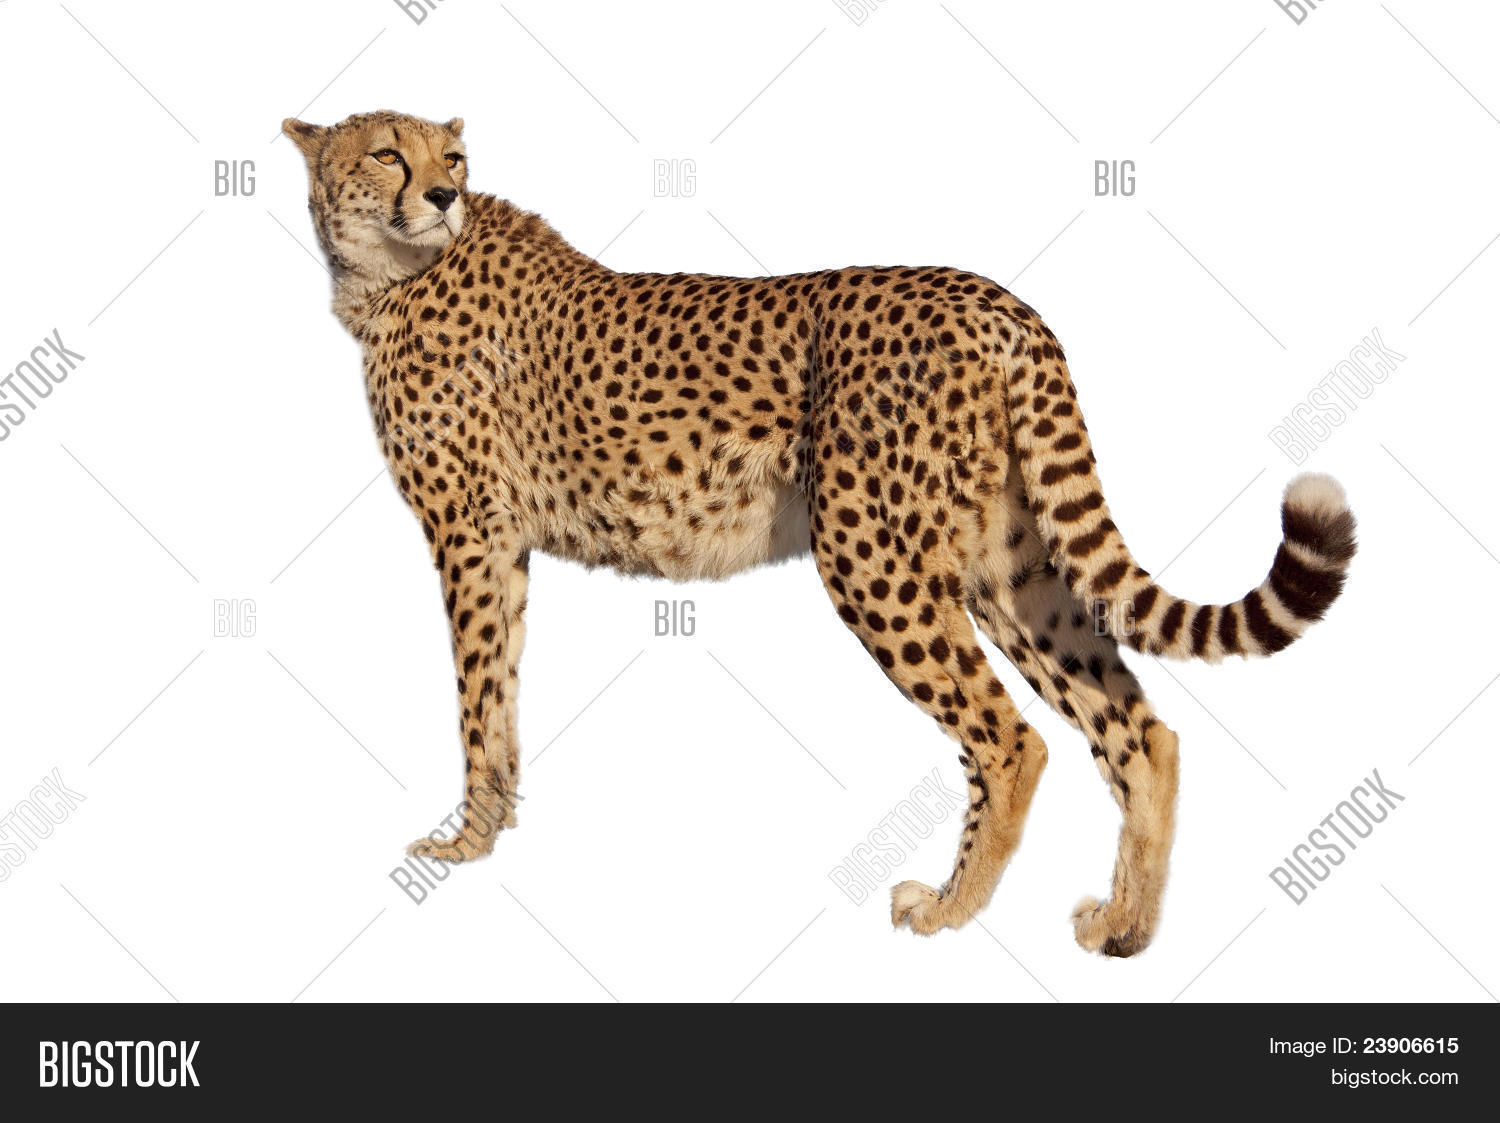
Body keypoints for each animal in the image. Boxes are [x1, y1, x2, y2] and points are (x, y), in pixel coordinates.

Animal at [284, 110, 1356, 956]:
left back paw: (950, 909)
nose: (442, 195)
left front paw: (464, 844)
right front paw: (497, 828)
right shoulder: (499, 543)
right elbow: (501, 689)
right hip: (1004, 565)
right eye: (387, 152)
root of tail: (1000, 301)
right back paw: (1126, 926)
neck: (391, 273)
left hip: (870, 552)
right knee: (1138, 727)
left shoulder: (467, 532)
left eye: (453, 157)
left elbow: (475, 696)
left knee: (1011, 738)